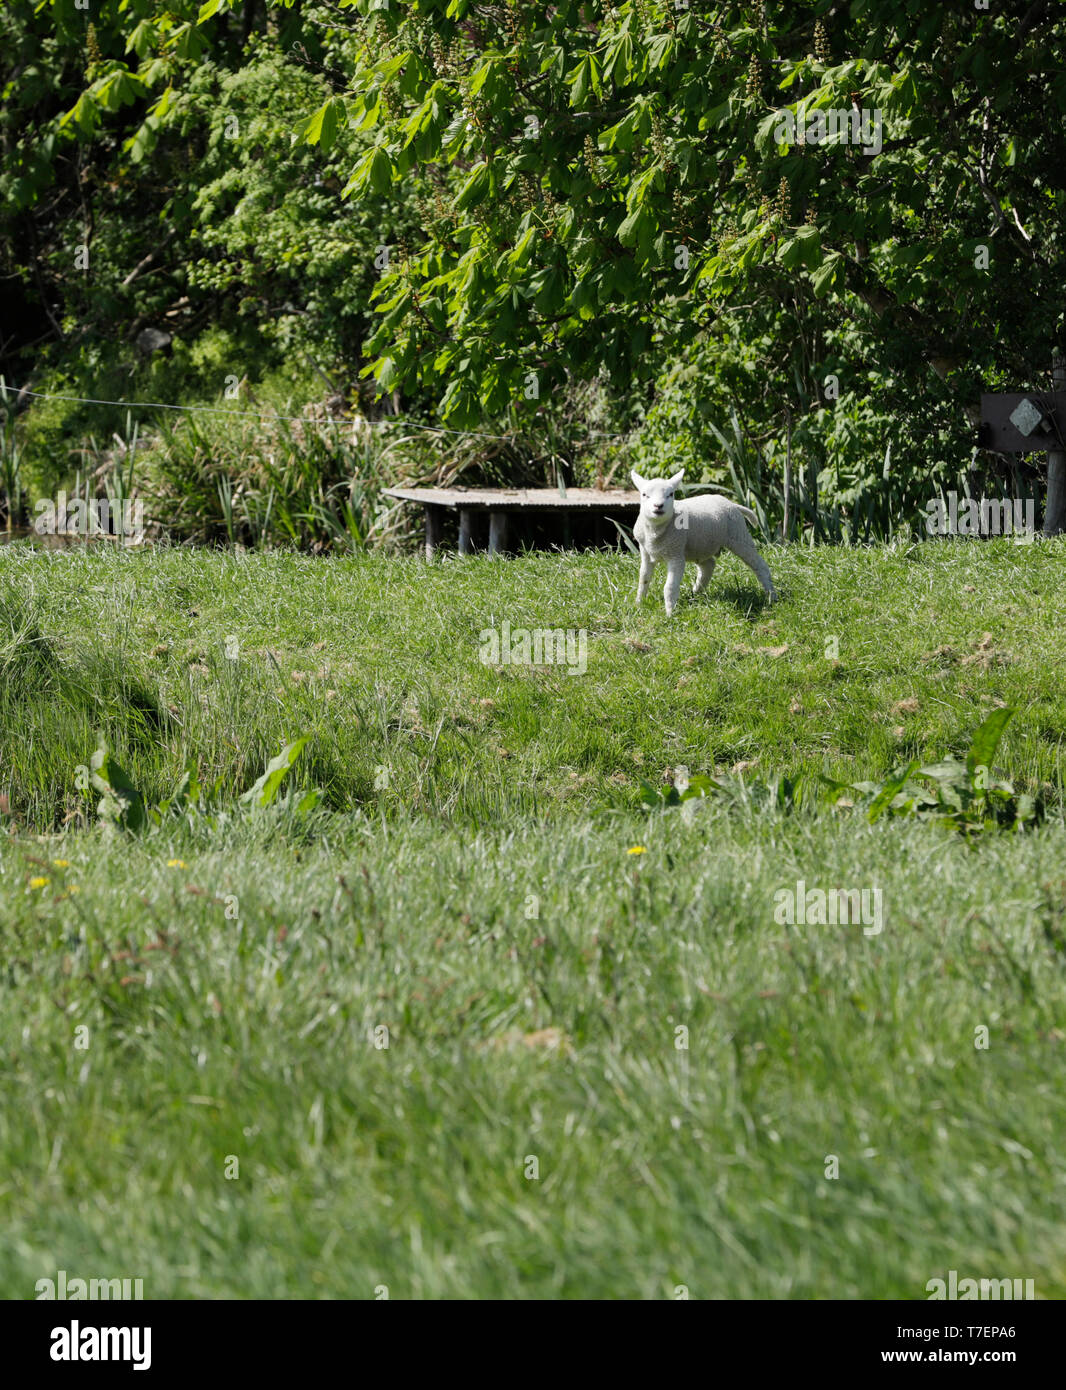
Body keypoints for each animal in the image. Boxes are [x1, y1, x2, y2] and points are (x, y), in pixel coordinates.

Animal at [631, 469, 776, 616]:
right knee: (708, 565)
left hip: (738, 535)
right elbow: (643, 579)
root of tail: (733, 504)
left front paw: (670, 613)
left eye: (670, 494)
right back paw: (696, 593)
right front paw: (639, 604)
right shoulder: (646, 552)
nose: (658, 506)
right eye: (644, 494)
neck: (655, 532)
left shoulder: (676, 554)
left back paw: (771, 597)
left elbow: (669, 587)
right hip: (701, 545)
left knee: (759, 565)